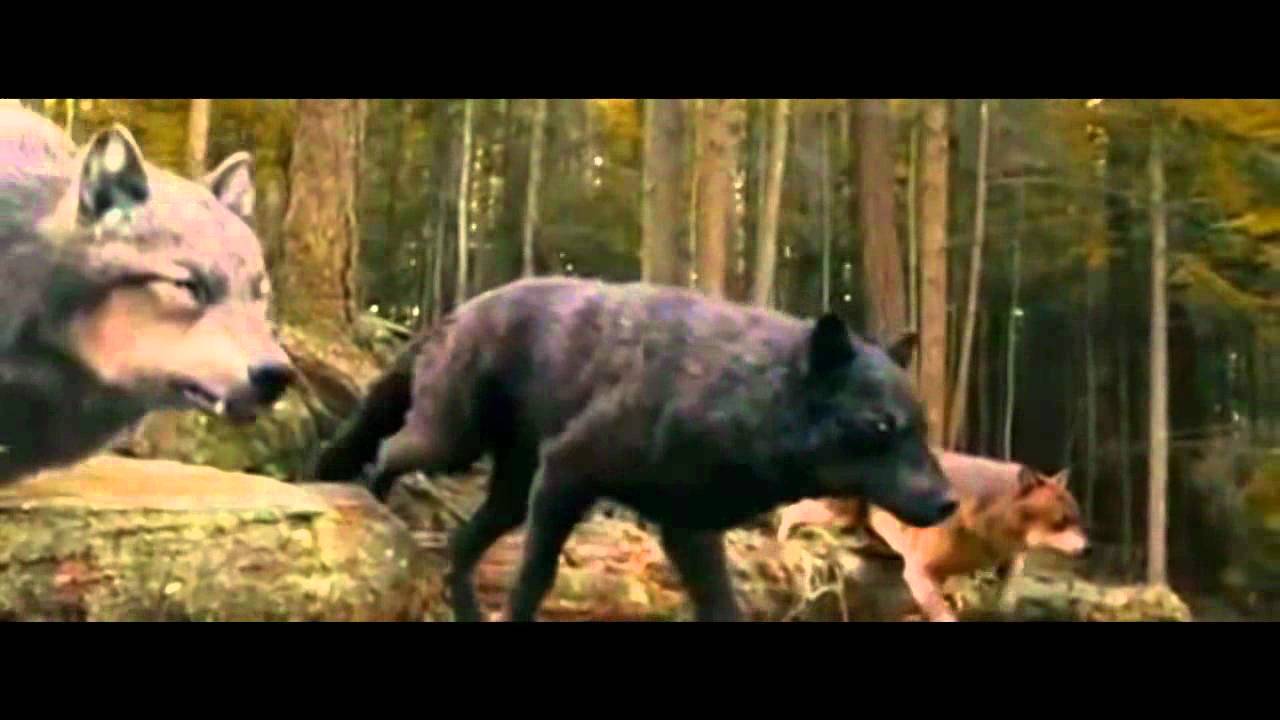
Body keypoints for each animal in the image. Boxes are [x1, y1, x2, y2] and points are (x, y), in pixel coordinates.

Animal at [311, 276, 957, 622]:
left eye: (923, 428)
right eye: (882, 426)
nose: (951, 503)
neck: (735, 398)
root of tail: (460, 309)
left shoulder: (691, 533)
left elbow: (724, 608)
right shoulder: (568, 476)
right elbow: (534, 579)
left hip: (509, 492)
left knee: (459, 546)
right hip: (453, 445)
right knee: (385, 451)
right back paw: (369, 499)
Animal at [775, 451, 1090, 621]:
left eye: (1077, 518)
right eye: (1061, 522)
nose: (1087, 549)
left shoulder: (1006, 557)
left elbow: (1008, 588)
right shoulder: (920, 571)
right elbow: (943, 612)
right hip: (838, 513)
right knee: (792, 510)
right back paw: (781, 538)